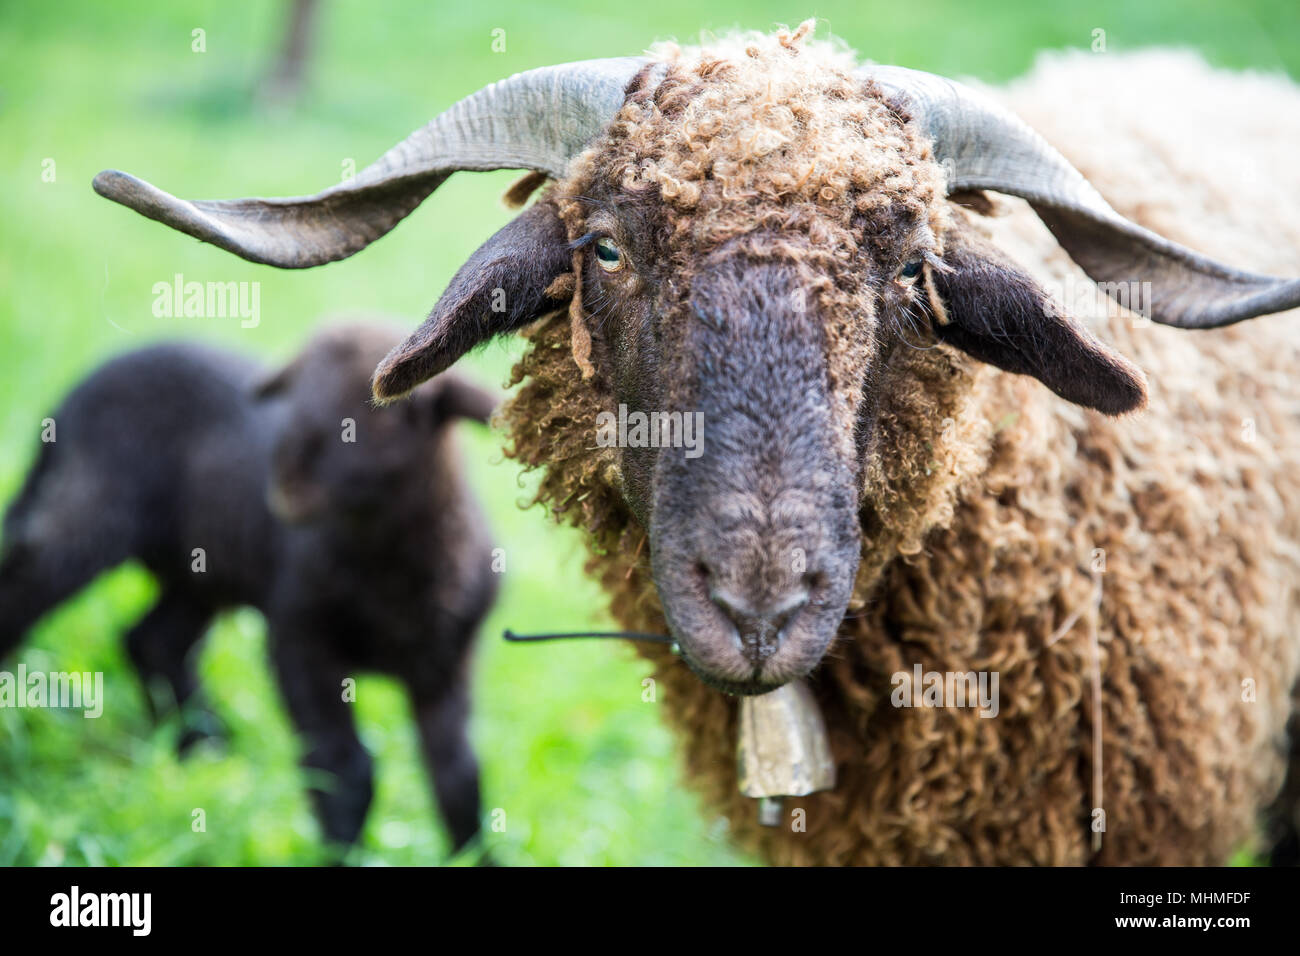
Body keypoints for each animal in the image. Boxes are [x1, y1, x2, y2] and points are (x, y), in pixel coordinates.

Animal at [0, 324, 499, 859]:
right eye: (296, 394)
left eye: (393, 408)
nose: (285, 471)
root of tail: (75, 395)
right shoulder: (300, 642)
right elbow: (344, 768)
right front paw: (341, 854)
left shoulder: (445, 665)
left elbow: (458, 776)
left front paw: (476, 856)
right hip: (88, 511)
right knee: (25, 586)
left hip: (201, 568)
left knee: (152, 640)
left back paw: (203, 751)